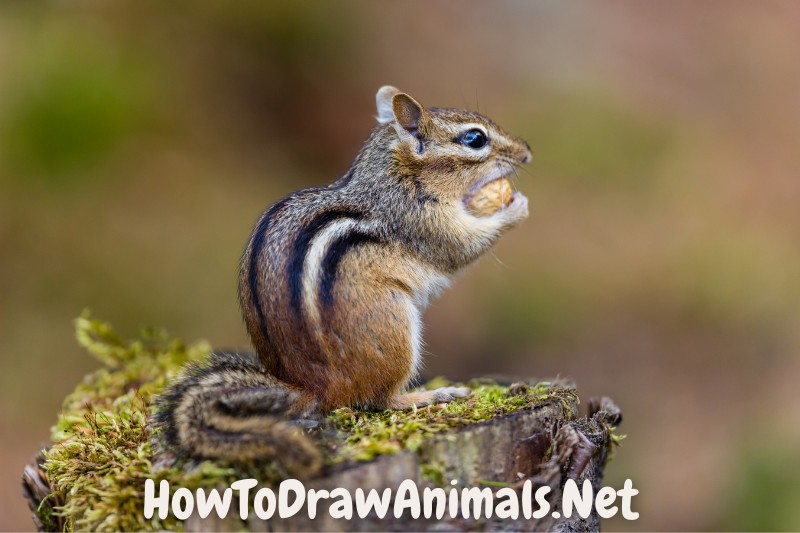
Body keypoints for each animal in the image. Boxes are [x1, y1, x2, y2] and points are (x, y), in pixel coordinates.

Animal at [152, 86, 532, 475]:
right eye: (475, 139)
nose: (526, 152)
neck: (396, 176)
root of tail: (313, 389)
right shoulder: (421, 221)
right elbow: (462, 247)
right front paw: (515, 207)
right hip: (392, 328)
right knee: (378, 399)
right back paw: (432, 394)